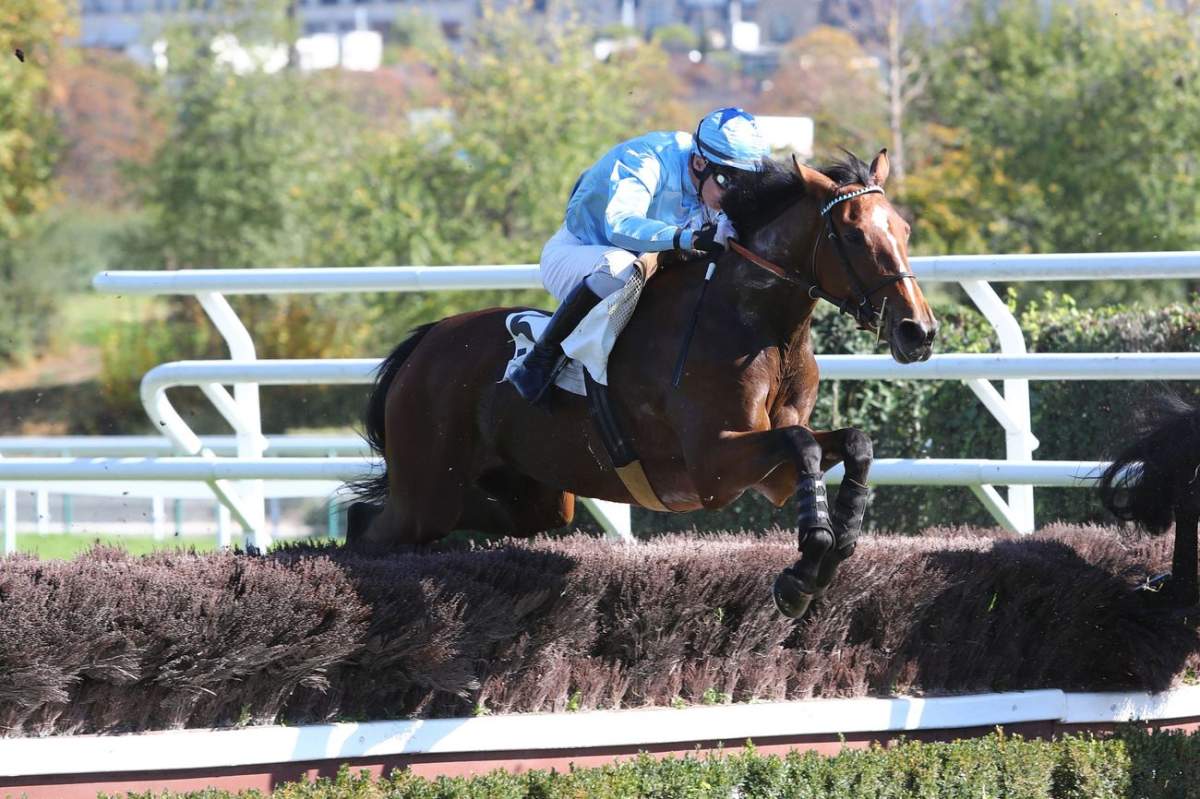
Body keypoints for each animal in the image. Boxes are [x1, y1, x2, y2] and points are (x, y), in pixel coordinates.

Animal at [349, 149, 938, 619]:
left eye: (904, 230)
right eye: (854, 234)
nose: (919, 330)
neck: (757, 326)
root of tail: (426, 342)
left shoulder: (767, 470)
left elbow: (852, 443)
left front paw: (832, 551)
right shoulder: (714, 465)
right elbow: (802, 446)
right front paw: (804, 567)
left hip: (530, 500)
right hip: (428, 490)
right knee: (375, 529)